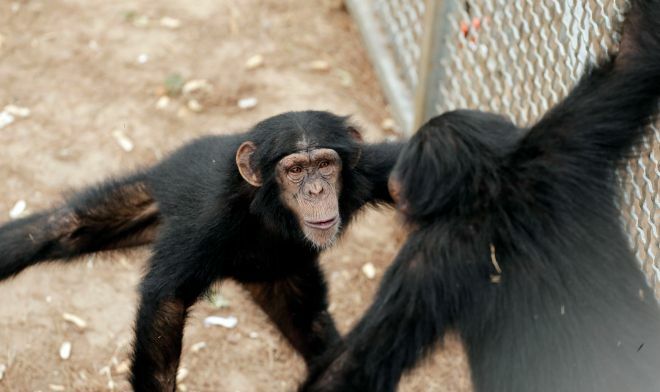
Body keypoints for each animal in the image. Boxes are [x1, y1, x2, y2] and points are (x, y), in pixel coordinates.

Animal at [0, 111, 402, 392]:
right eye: (295, 170)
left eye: (325, 164)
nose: (316, 190)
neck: (272, 208)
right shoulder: (209, 217)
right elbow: (166, 299)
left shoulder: (371, 169)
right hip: (156, 195)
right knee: (66, 227)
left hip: (286, 280)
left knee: (315, 328)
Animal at [302, 1, 660, 390]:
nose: (396, 179)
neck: (495, 185)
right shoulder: (565, 138)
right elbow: (634, 55)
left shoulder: (428, 260)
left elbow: (360, 360)